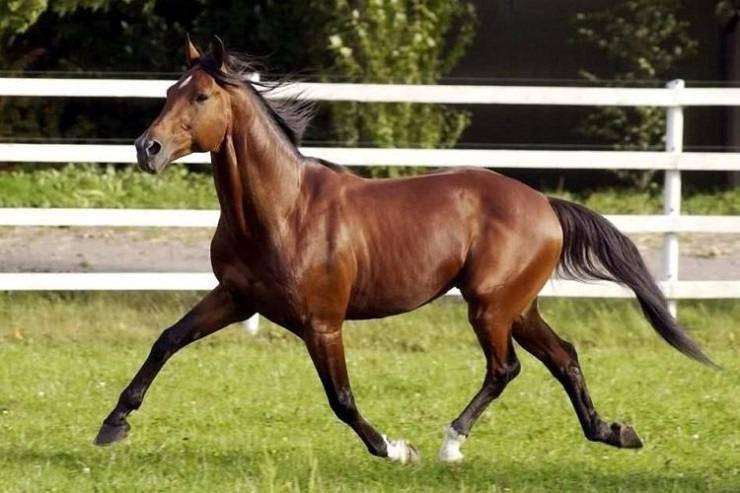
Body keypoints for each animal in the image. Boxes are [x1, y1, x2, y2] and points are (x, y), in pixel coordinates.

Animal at [94, 36, 714, 464]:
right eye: (167, 93)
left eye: (199, 95)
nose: (147, 148)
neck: (284, 211)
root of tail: (544, 203)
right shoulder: (235, 297)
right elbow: (167, 340)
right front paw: (112, 425)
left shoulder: (322, 322)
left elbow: (341, 398)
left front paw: (395, 449)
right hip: (517, 306)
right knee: (563, 356)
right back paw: (613, 432)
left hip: (490, 308)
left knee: (506, 367)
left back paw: (451, 443)